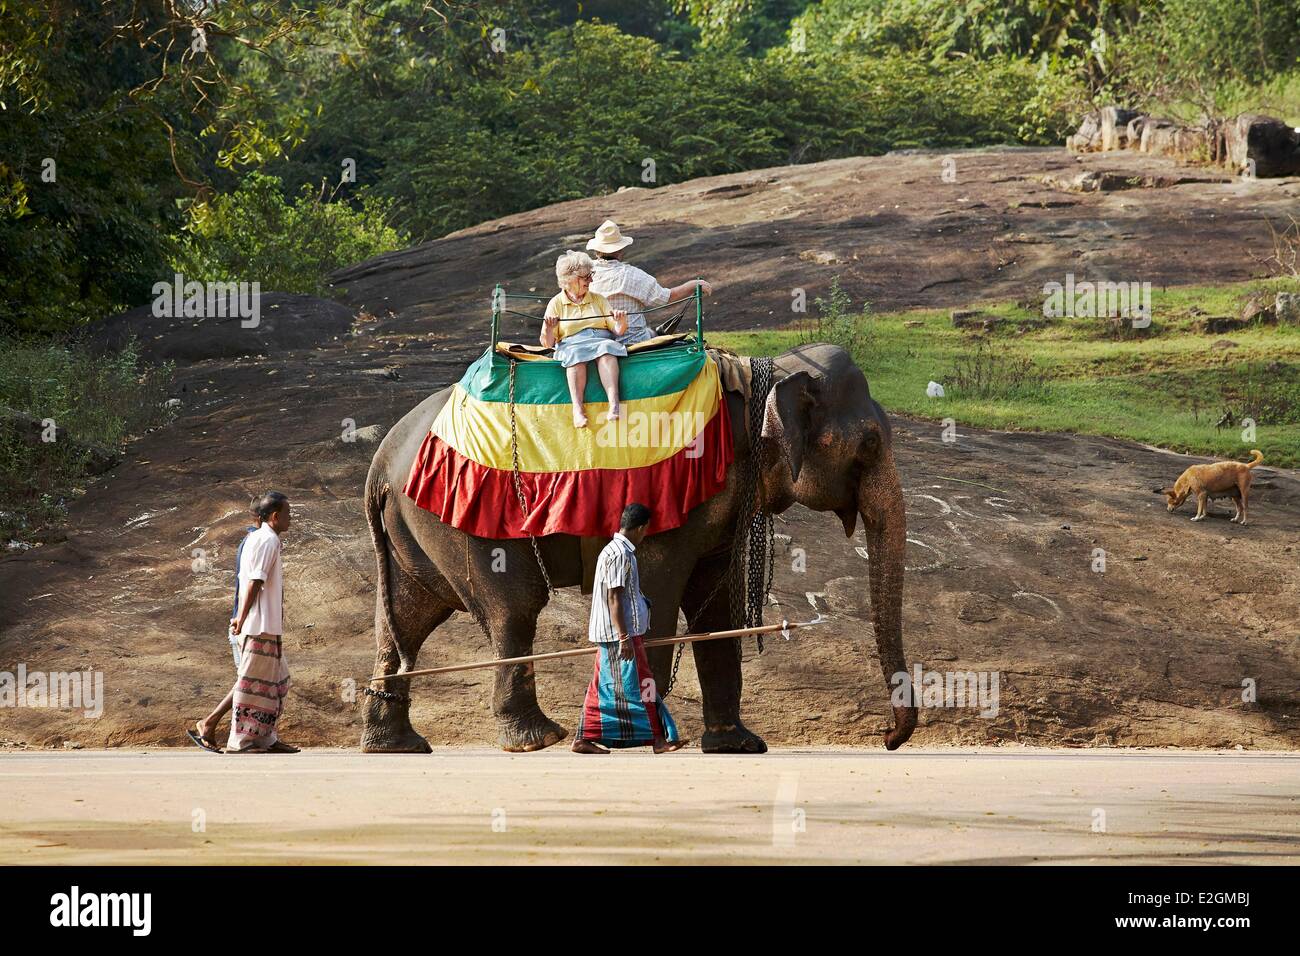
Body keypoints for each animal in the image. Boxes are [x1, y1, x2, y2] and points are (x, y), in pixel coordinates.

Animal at [360, 342, 915, 754]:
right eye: (869, 444)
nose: (887, 738)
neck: (765, 370)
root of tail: (381, 462)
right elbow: (656, 593)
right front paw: (652, 736)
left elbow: (718, 604)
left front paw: (737, 744)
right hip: (465, 522)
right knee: (513, 610)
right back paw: (538, 739)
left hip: (414, 527)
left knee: (405, 621)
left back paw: (397, 745)